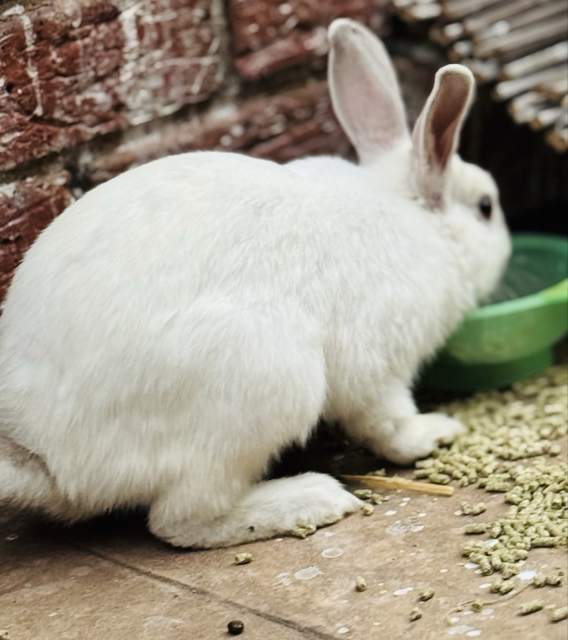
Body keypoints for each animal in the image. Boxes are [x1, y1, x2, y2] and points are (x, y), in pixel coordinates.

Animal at [0, 18, 511, 548]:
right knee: (180, 520)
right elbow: (388, 421)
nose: (508, 248)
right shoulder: (377, 365)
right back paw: (311, 499)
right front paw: (435, 432)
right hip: (262, 383)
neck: (413, 217)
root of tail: (47, 459)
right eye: (486, 207)